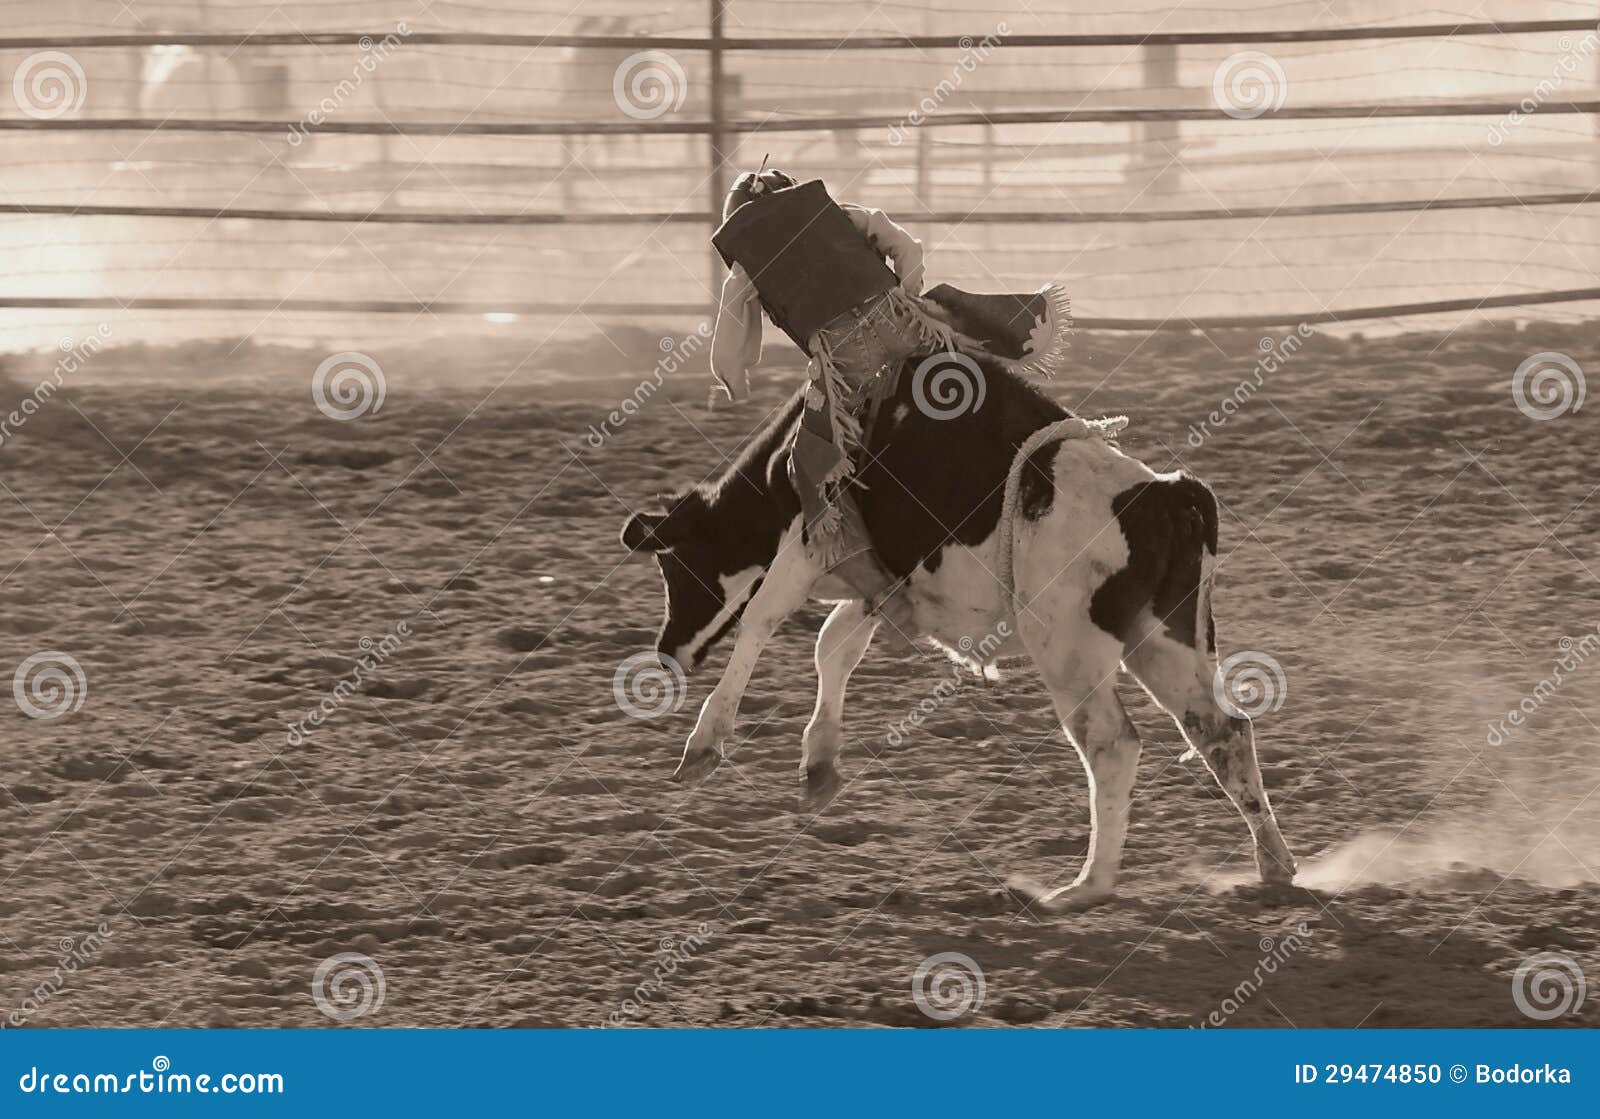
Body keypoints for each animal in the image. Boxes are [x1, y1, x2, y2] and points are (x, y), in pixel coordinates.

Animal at [619, 351, 1297, 911]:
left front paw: (705, 744)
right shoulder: (882, 578)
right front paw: (819, 763)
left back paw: (1086, 886)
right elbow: (834, 647)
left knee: (1113, 745)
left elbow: (765, 619)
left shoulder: (809, 543)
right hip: (1166, 639)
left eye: (675, 566)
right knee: (1222, 731)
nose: (666, 652)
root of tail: (1167, 495)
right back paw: (1274, 866)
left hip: (1072, 653)